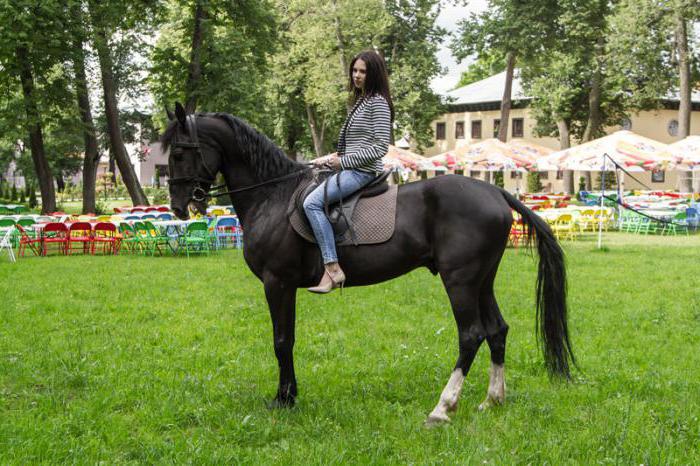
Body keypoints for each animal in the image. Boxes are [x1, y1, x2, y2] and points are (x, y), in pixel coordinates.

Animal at [163, 104, 576, 426]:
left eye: (179, 153)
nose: (179, 207)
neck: (272, 195)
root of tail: (495, 191)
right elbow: (287, 340)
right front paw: (289, 394)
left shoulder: (276, 282)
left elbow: (282, 341)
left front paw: (284, 398)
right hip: (482, 281)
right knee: (497, 330)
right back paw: (492, 400)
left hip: (459, 280)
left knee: (471, 335)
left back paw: (443, 408)